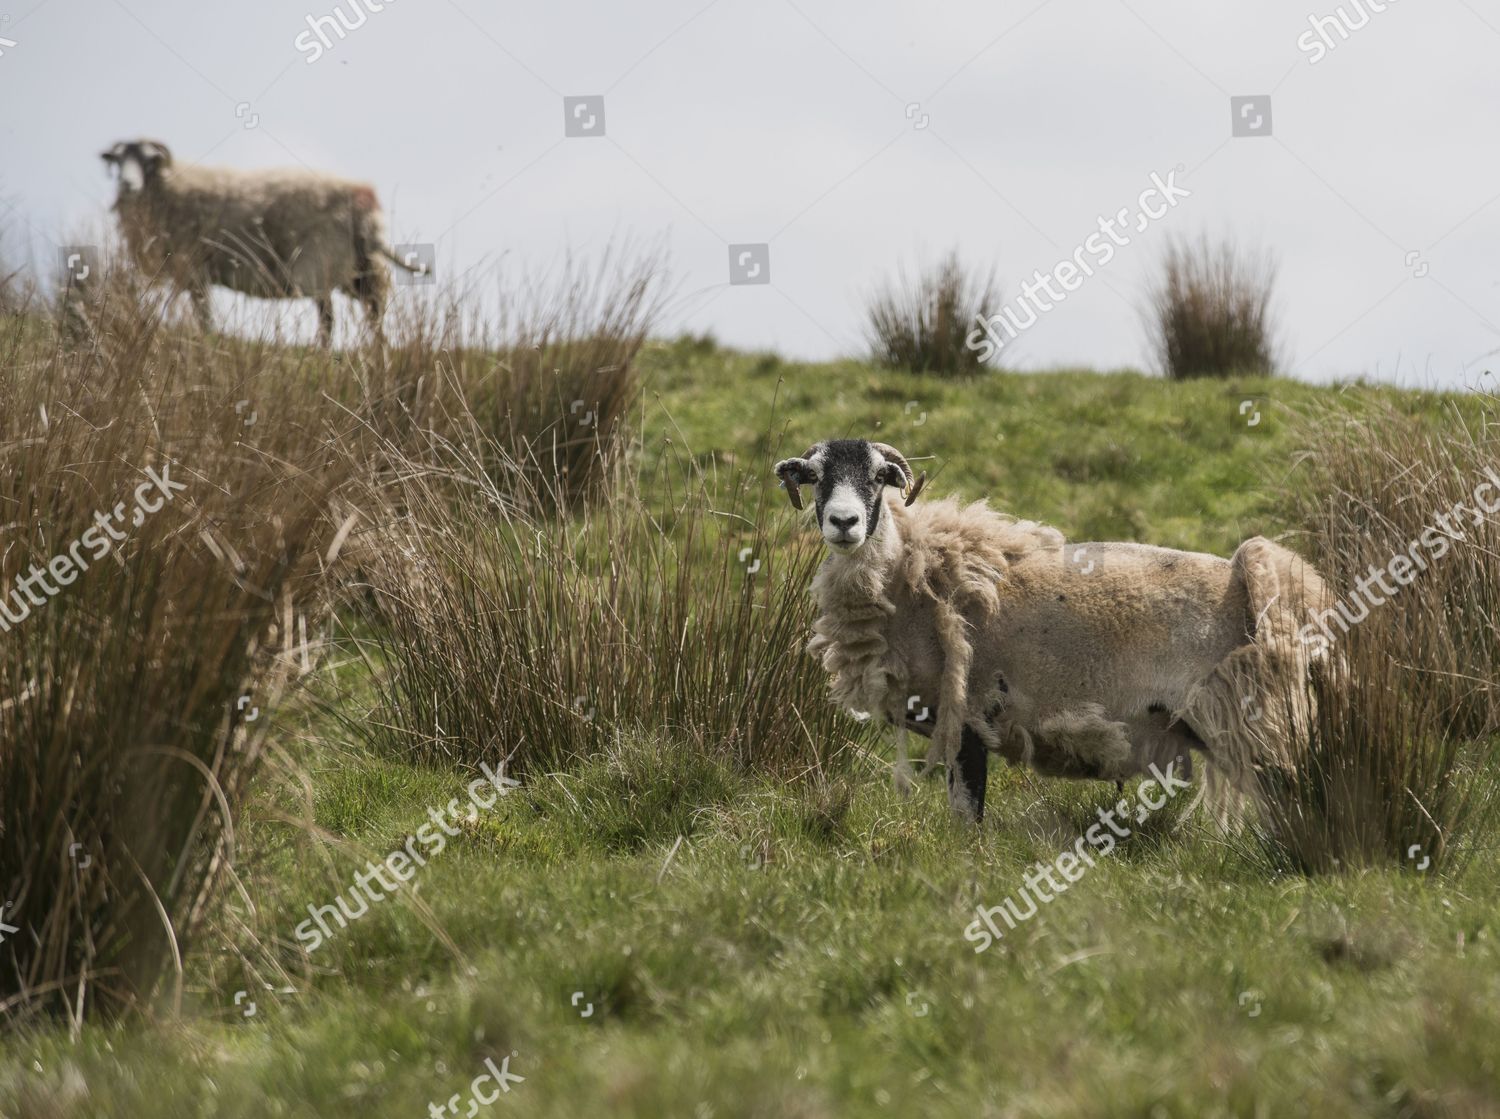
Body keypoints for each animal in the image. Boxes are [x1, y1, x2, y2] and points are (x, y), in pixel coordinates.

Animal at [100, 139, 423, 346]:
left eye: (148, 162)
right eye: (119, 161)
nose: (127, 184)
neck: (167, 189)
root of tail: (363, 205)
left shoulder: (194, 270)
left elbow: (204, 317)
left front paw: (207, 342)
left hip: (319, 263)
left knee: (329, 318)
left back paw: (322, 353)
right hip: (361, 268)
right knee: (373, 312)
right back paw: (377, 353)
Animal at [774, 438, 1330, 824]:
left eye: (877, 477)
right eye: (816, 476)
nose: (844, 523)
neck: (913, 579)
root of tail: (1246, 573)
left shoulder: (969, 718)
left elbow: (966, 817)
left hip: (1257, 716)